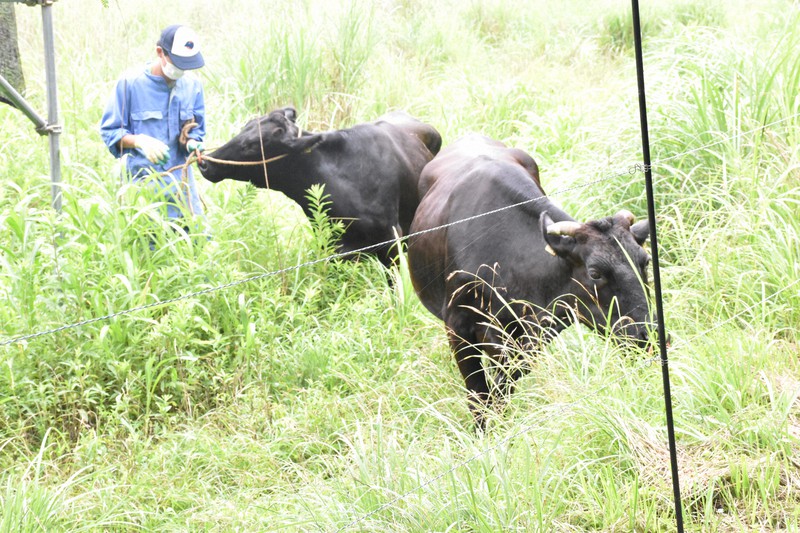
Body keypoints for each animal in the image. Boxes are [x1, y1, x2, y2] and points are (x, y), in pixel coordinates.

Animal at [407, 134, 653, 429]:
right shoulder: (457, 326)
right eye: (595, 273)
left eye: (645, 261)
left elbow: (503, 385)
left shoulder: (540, 328)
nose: (647, 335)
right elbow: (479, 395)